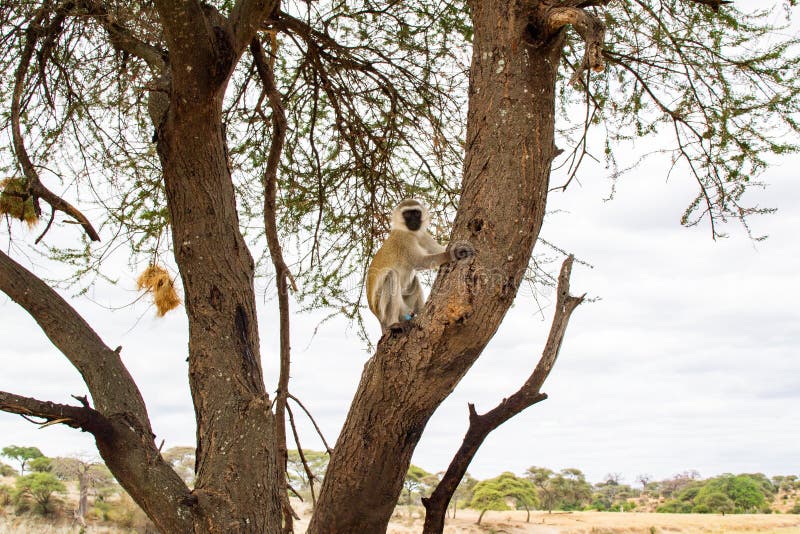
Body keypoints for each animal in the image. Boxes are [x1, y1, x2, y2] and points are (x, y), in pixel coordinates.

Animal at [366, 199, 474, 334]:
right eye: (407, 214)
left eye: (416, 213)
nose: (414, 221)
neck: (411, 233)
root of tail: (378, 318)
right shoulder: (404, 240)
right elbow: (421, 262)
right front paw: (452, 254)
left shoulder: (423, 235)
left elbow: (438, 250)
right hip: (382, 309)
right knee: (392, 276)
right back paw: (393, 323)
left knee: (414, 281)